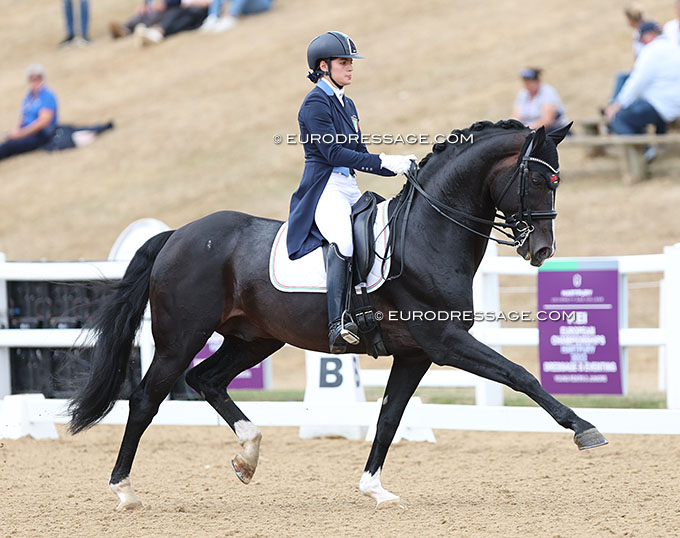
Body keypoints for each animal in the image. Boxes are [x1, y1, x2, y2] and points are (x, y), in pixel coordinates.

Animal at [68, 119, 607, 511]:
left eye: (556, 179)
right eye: (537, 178)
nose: (541, 250)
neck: (429, 233)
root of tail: (178, 234)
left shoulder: (416, 354)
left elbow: (389, 416)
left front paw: (375, 489)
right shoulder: (447, 342)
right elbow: (520, 375)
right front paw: (584, 429)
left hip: (255, 338)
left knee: (207, 380)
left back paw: (248, 457)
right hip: (181, 338)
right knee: (145, 400)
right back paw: (125, 491)